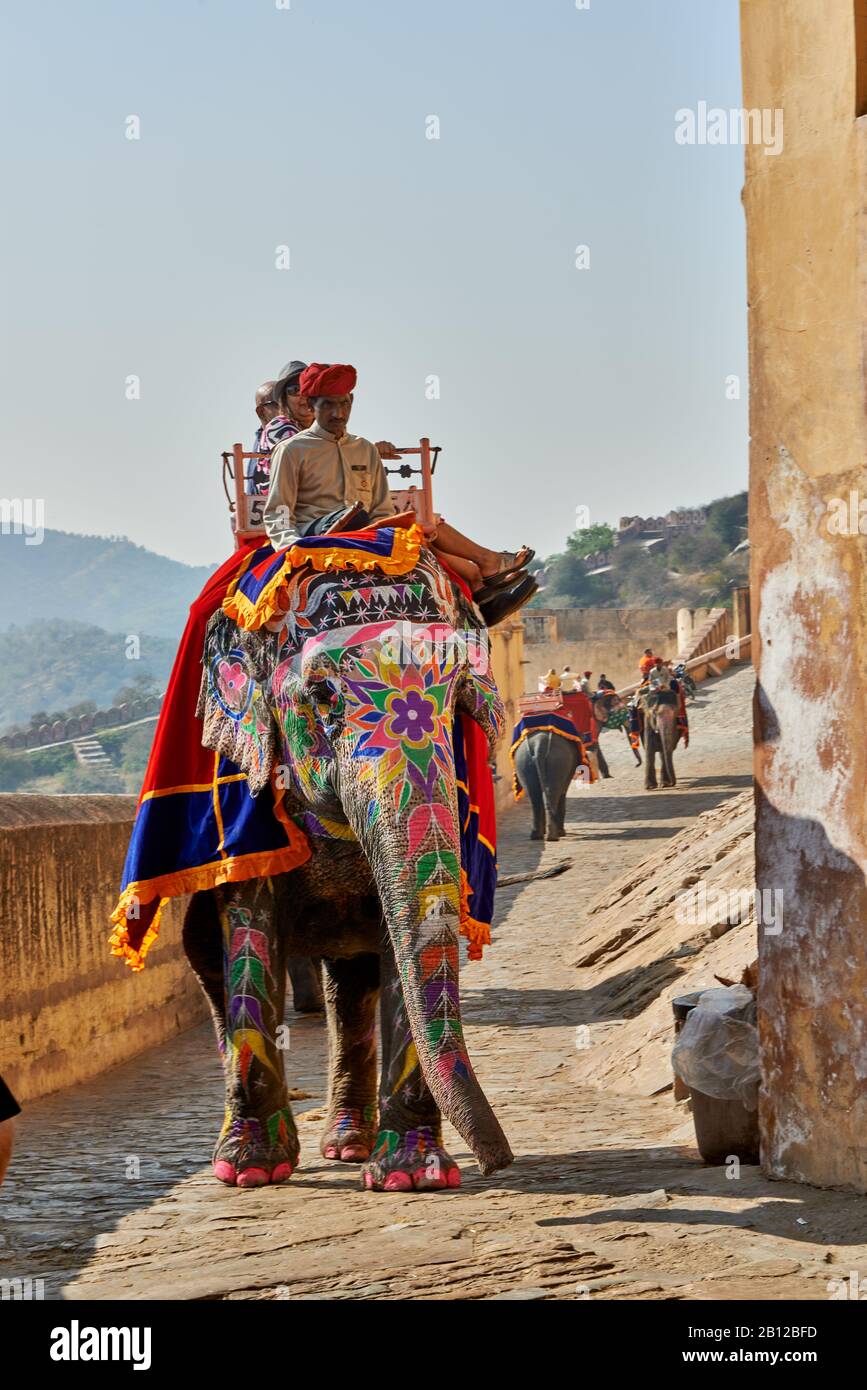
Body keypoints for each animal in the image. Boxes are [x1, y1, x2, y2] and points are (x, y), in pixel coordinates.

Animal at [183, 547, 514, 1193]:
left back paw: (348, 1147)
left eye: (461, 693)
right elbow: (250, 926)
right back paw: (250, 1153)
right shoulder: (245, 804)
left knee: (352, 985)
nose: (500, 1161)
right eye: (321, 695)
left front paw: (414, 1178)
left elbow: (400, 941)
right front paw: (253, 1173)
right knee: (215, 976)